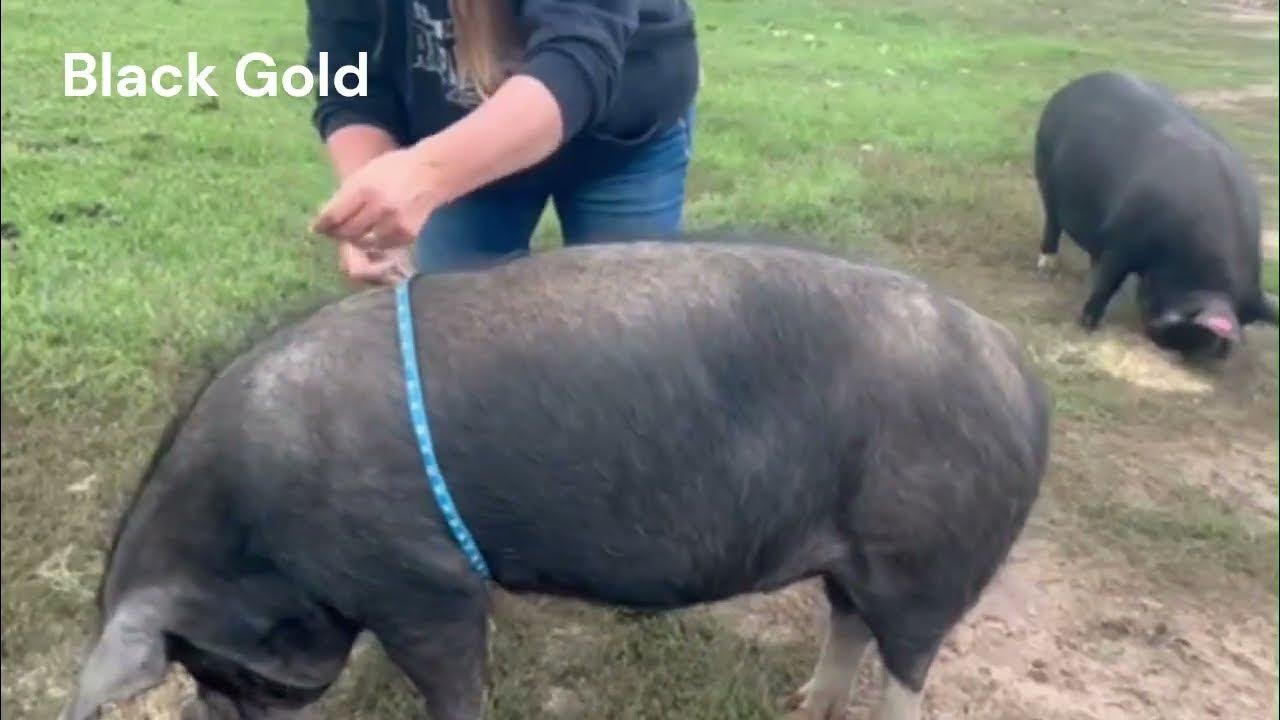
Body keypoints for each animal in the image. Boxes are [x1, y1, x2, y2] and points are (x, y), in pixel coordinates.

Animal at [60, 237, 1051, 720]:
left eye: (219, 666)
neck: (254, 533)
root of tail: (1008, 354)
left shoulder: (425, 583)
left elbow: (452, 683)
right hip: (858, 550)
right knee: (848, 620)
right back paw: (801, 705)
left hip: (928, 554)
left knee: (910, 663)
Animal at [1034, 70, 1279, 359]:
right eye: (1194, 330)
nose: (1204, 354)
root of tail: (1073, 86)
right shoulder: (1123, 238)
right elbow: (1107, 281)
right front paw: (1086, 323)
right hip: (1044, 166)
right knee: (1052, 220)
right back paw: (1047, 265)